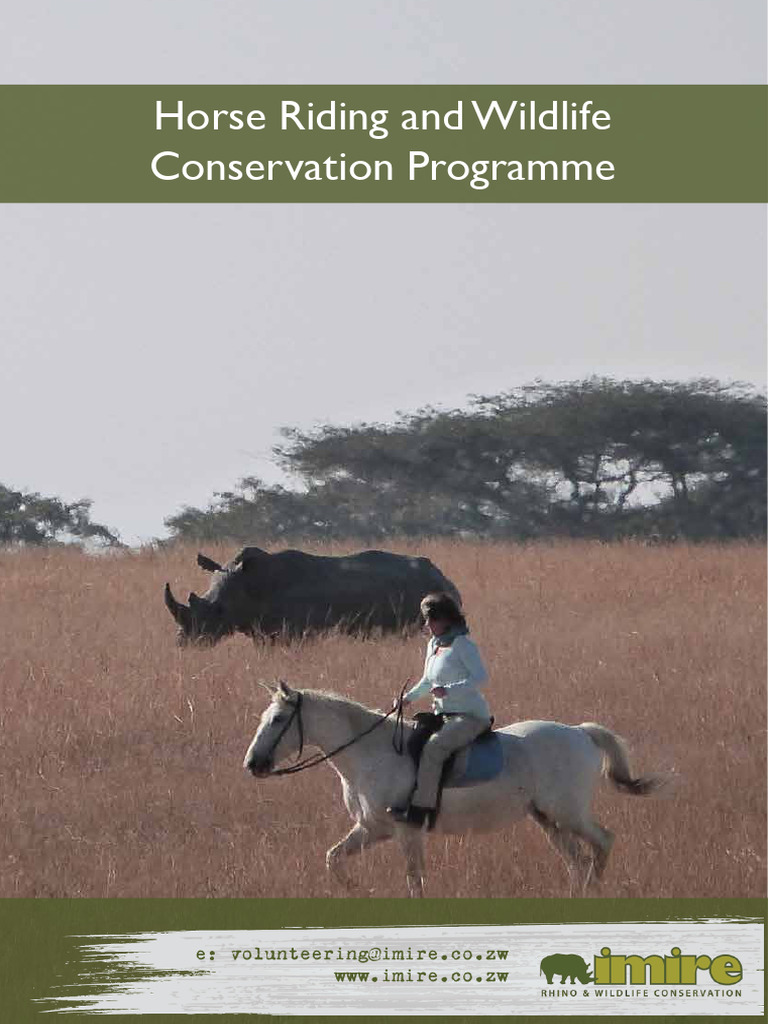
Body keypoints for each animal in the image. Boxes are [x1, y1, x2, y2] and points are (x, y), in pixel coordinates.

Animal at [243, 682, 663, 897]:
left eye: (278, 719)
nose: (253, 764)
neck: (370, 753)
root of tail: (579, 732)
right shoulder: (372, 829)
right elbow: (333, 858)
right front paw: (357, 889)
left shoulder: (406, 831)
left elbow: (415, 880)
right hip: (548, 819)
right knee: (576, 859)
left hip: (568, 813)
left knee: (602, 842)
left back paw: (593, 889)